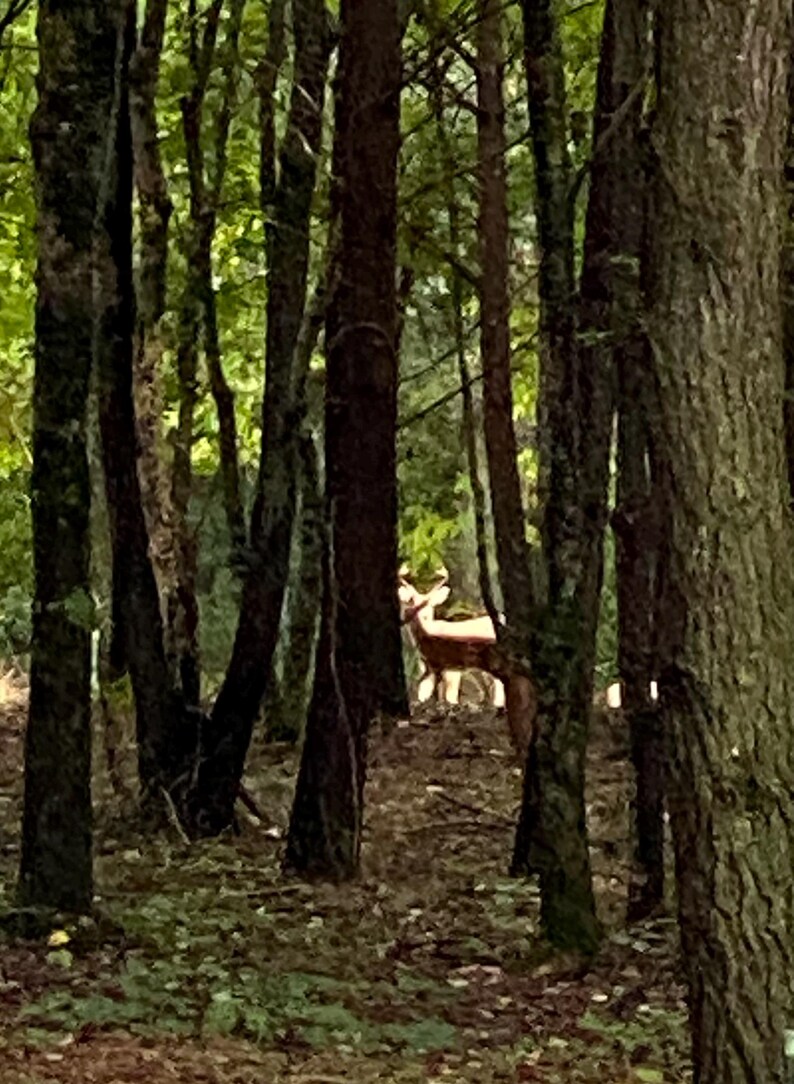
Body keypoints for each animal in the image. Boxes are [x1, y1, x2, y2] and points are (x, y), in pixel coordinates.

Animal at [397, 567, 535, 761]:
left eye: (429, 604)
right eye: (411, 600)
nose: (419, 615)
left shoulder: (445, 664)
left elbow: (442, 695)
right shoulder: (435, 666)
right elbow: (428, 692)